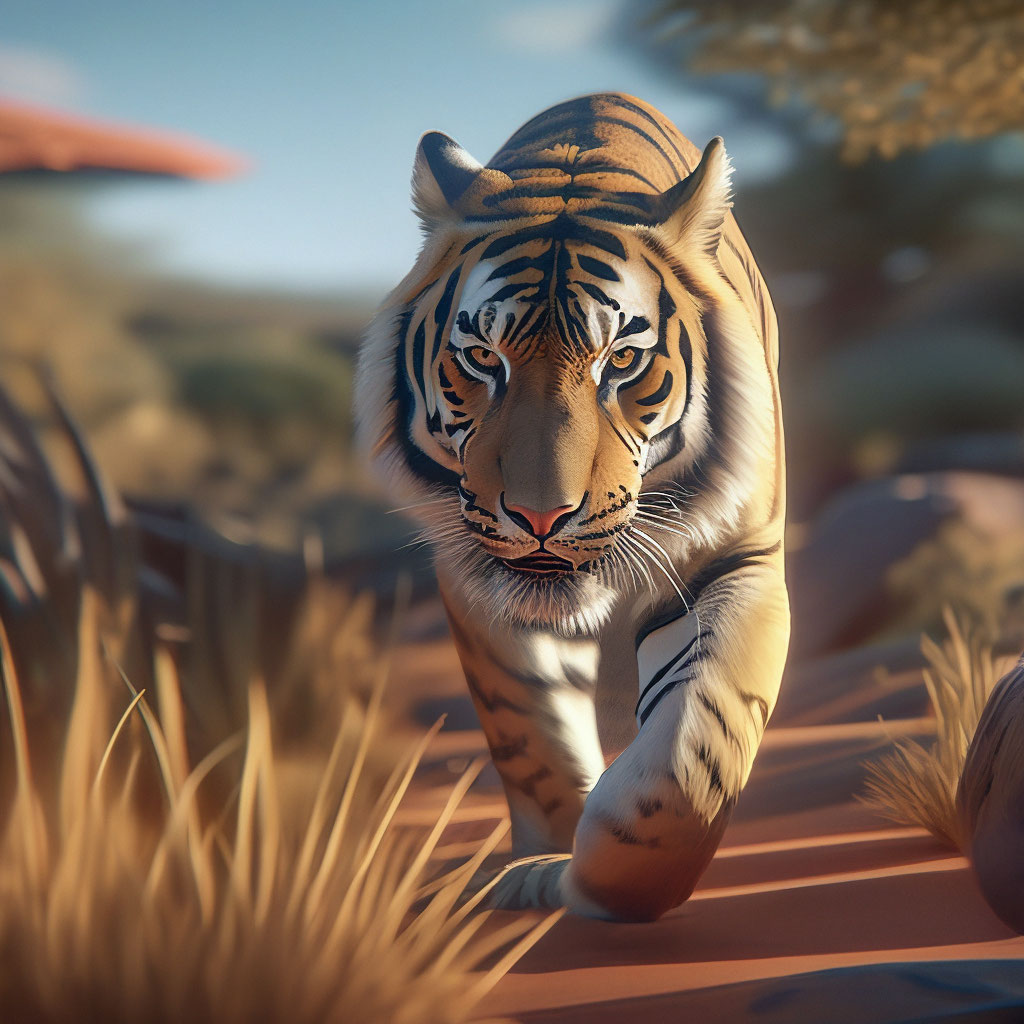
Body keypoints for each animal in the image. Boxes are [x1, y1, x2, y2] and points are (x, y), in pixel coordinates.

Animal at [355, 92, 789, 922]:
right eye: (482, 359)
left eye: (621, 361)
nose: (539, 518)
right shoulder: (475, 574)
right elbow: (533, 734)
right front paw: (545, 863)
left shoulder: (737, 557)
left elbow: (693, 751)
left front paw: (603, 874)